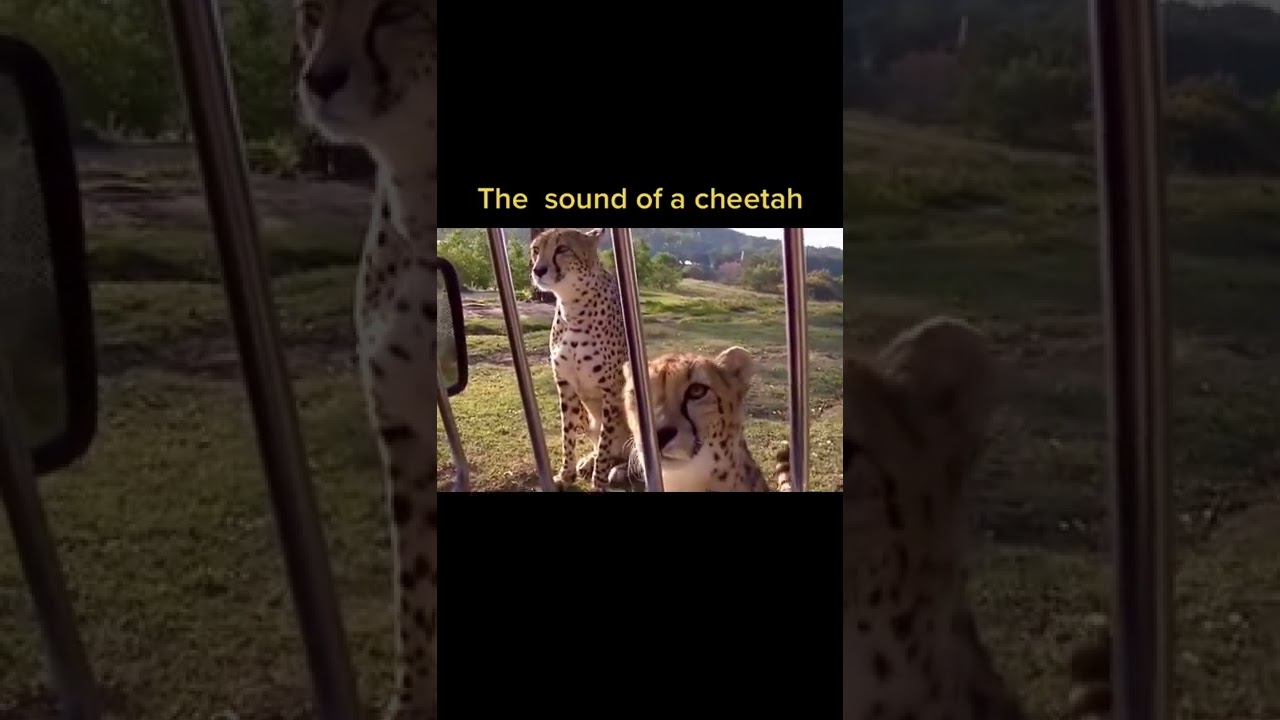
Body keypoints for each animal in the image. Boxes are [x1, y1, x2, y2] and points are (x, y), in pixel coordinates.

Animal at [529, 228, 630, 490]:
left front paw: (599, 482)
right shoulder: (565, 386)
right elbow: (568, 434)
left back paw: (619, 470)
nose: (538, 270)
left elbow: (606, 441)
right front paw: (566, 474)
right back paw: (589, 461)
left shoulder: (611, 390)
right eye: (536, 250)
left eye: (563, 248)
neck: (572, 307)